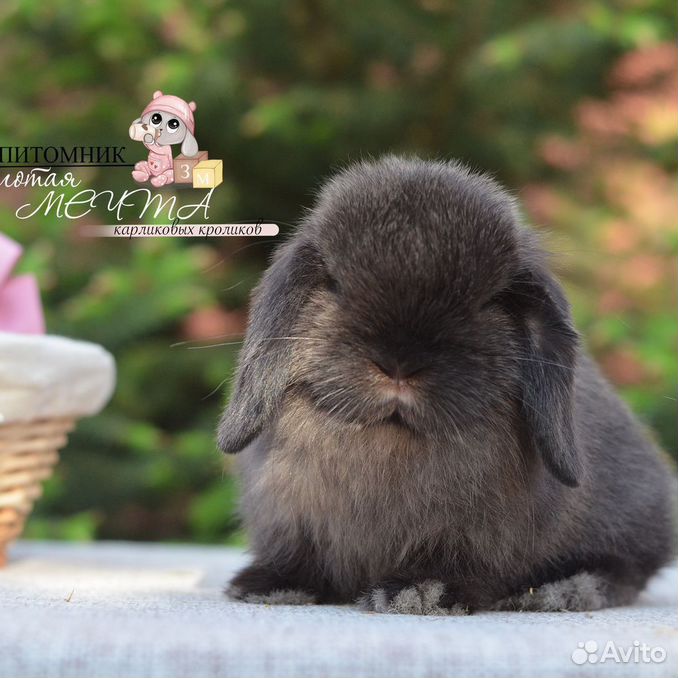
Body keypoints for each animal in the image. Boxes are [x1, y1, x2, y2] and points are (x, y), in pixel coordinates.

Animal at [218, 156, 675, 615]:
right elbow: (297, 555)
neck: (391, 439)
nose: (399, 362)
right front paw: (267, 585)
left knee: (621, 570)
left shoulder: (477, 533)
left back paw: (560, 591)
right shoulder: (288, 514)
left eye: (489, 301)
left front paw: (419, 592)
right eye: (335, 284)